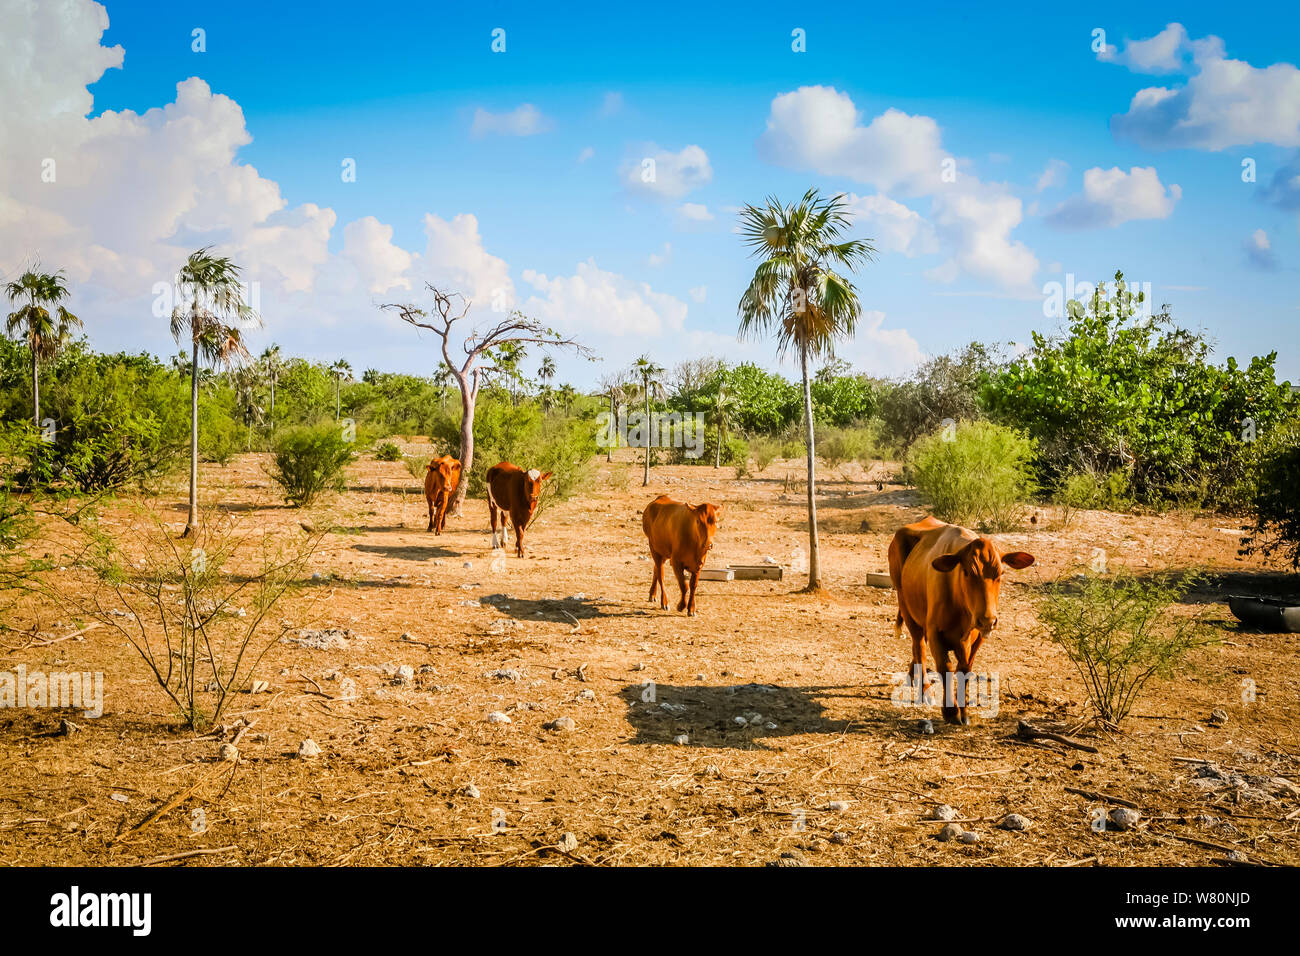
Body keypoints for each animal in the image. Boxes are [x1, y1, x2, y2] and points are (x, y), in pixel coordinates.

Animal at [887, 516, 1035, 725]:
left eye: (1000, 574)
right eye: (966, 572)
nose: (988, 619)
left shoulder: (976, 636)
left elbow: (965, 669)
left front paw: (963, 711)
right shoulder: (935, 631)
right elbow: (945, 667)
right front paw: (950, 710)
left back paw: (911, 675)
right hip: (906, 606)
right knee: (919, 648)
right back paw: (925, 689)